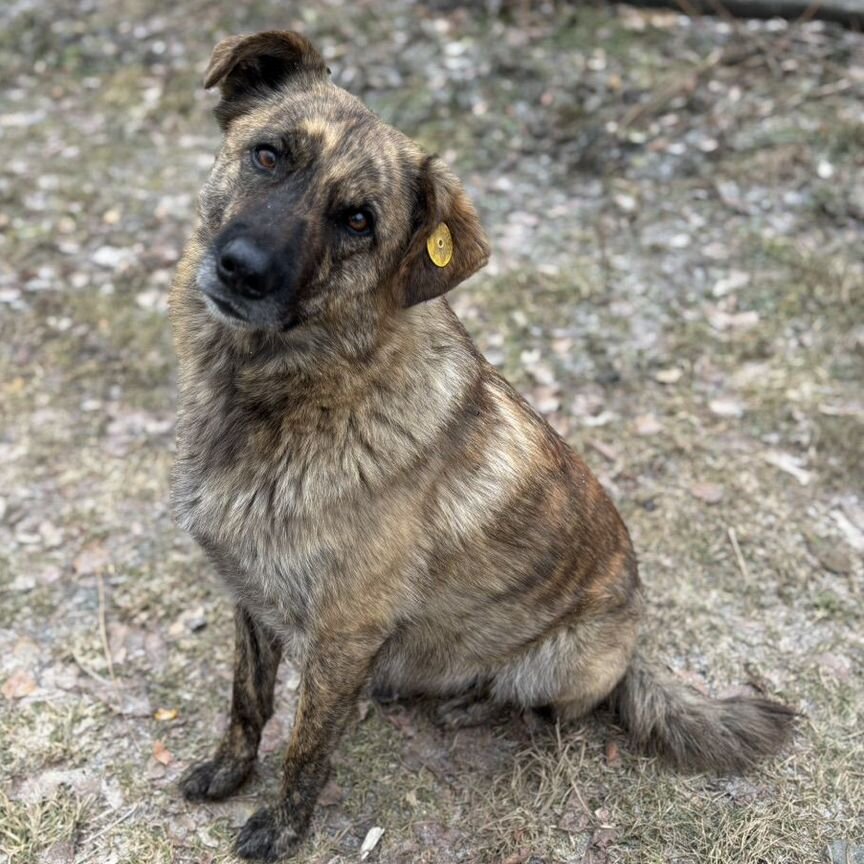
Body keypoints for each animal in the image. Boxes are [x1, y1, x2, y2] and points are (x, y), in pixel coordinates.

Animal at [170, 30, 796, 860]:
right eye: (268, 155)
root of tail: (635, 649)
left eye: (358, 220)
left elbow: (306, 745)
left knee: (549, 709)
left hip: (567, 657)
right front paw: (229, 771)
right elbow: (248, 698)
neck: (297, 394)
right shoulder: (254, 600)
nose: (243, 271)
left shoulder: (342, 629)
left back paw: (474, 701)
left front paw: (282, 824)